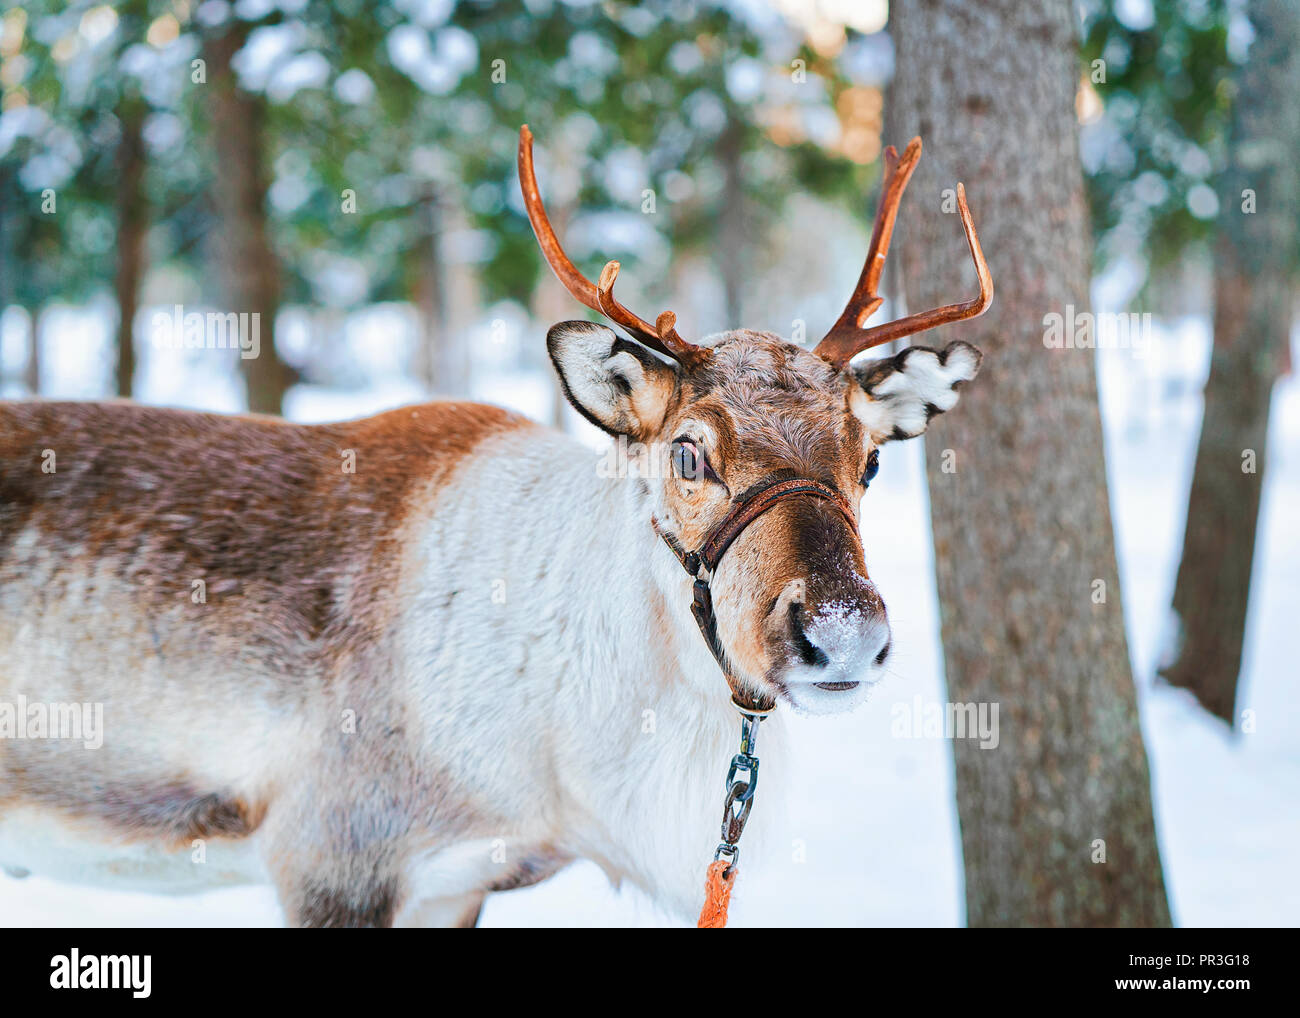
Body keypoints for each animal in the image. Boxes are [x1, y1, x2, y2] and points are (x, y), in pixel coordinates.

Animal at [0, 126, 991, 927]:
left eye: (870, 461)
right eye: (688, 454)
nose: (842, 633)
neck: (557, 754)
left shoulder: (457, 878)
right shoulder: (329, 853)